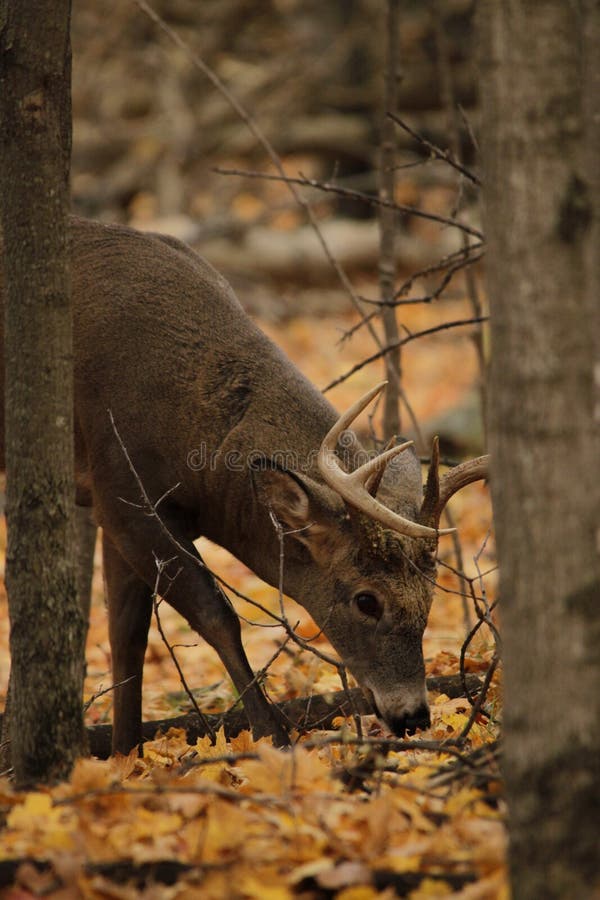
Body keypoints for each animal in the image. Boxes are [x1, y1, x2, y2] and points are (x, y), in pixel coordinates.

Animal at [0, 217, 488, 754]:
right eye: (366, 599)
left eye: (430, 597)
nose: (413, 716)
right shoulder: (123, 492)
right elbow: (216, 615)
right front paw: (272, 734)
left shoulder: (114, 508)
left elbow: (126, 636)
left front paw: (124, 754)